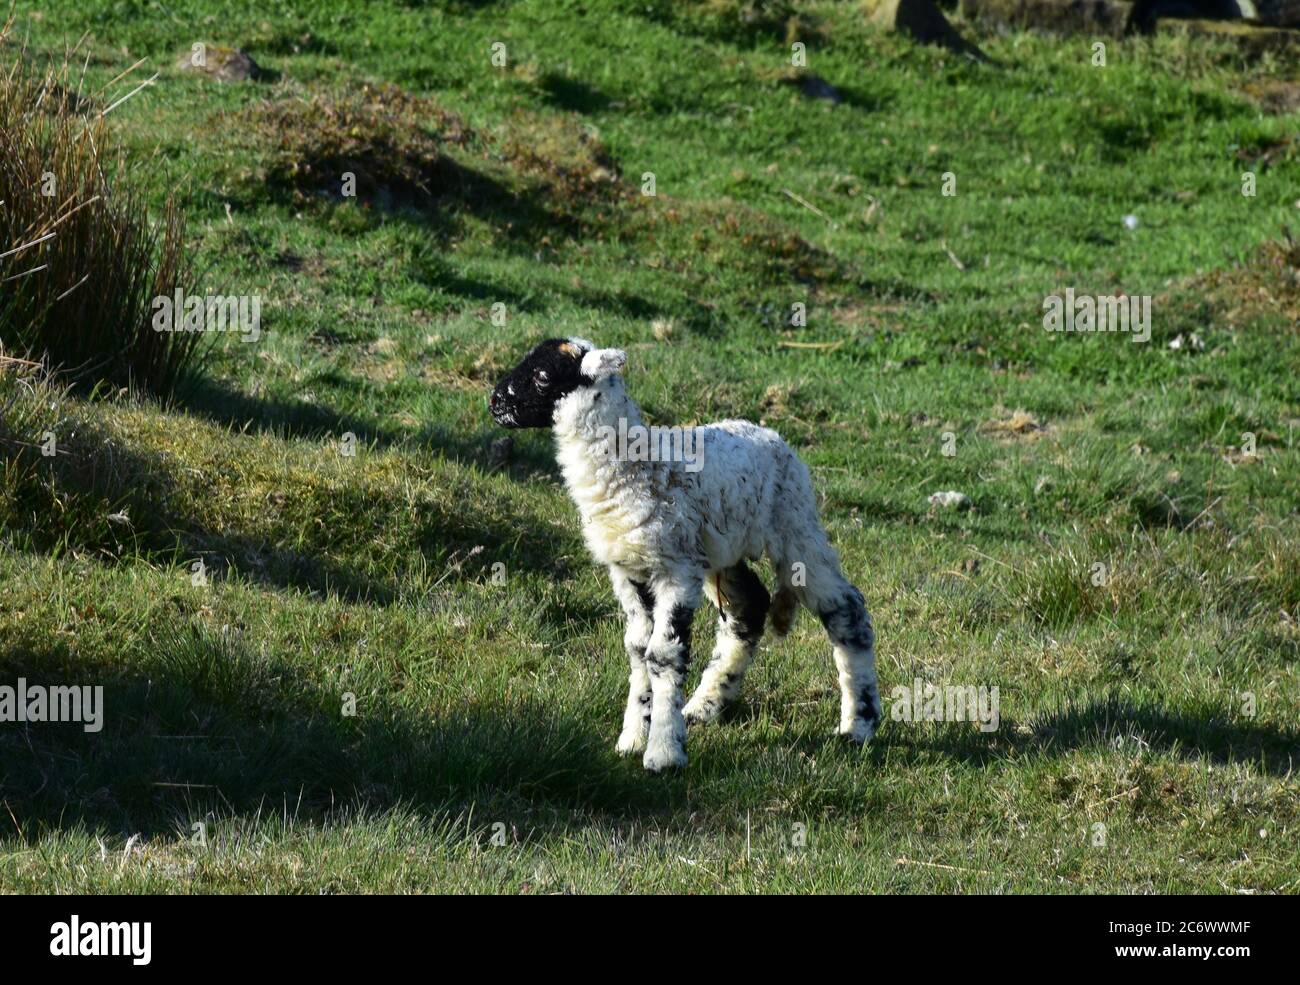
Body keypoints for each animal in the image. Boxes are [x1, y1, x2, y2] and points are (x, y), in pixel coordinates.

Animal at [490, 337, 880, 772]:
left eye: (543, 376)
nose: (494, 402)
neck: (634, 467)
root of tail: (770, 434)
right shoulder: (630, 571)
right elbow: (638, 650)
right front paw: (632, 738)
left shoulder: (674, 570)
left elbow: (663, 655)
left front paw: (663, 753)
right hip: (720, 552)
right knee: (747, 610)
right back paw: (702, 706)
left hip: (795, 525)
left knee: (845, 607)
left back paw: (858, 725)